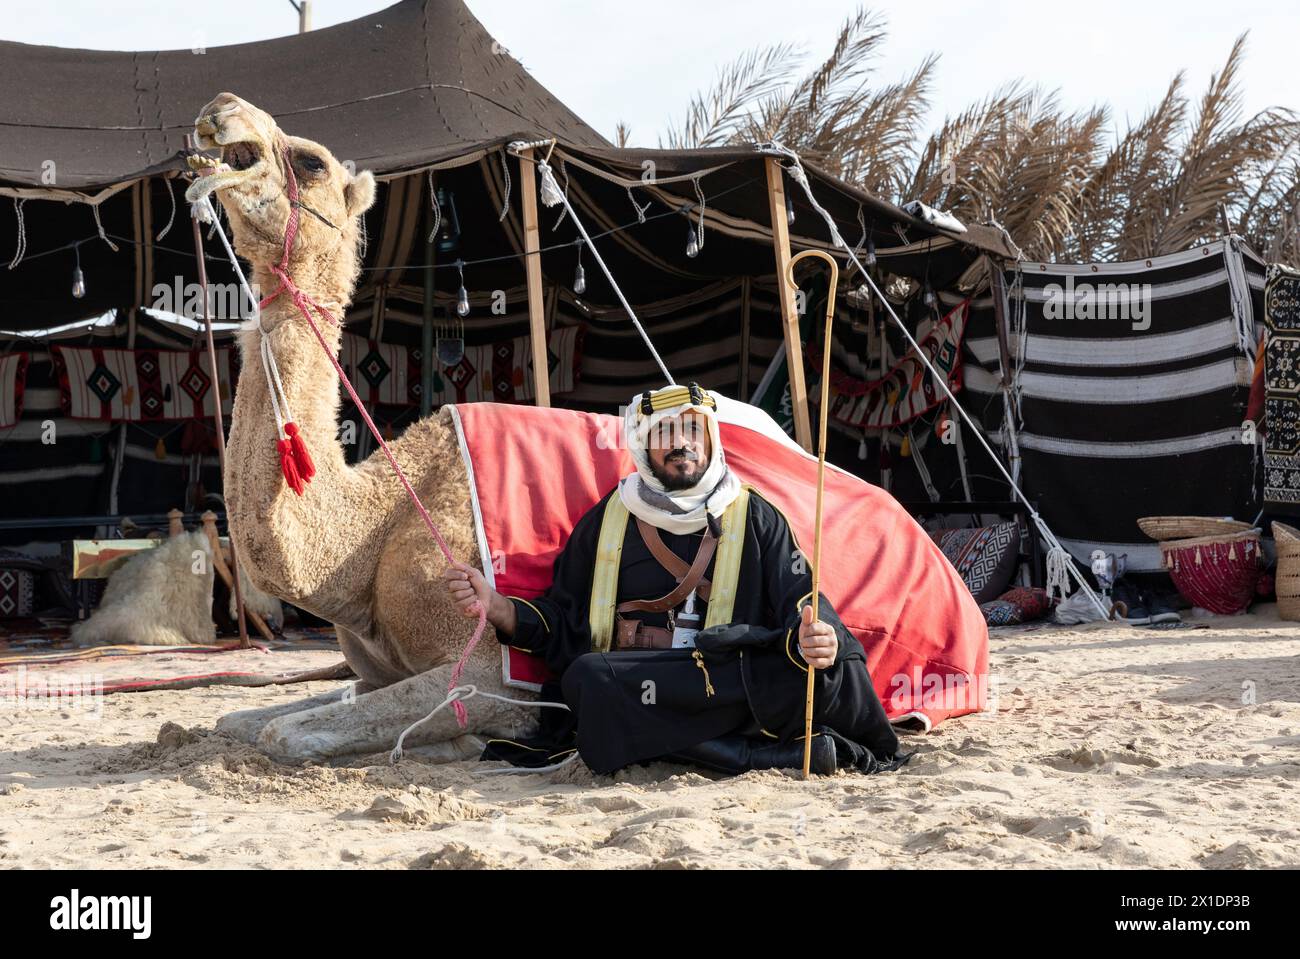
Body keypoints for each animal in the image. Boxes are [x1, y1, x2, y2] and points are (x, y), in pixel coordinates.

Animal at [185, 93, 538, 763]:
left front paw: (462, 742)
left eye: (312, 162)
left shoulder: (491, 668)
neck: (367, 541)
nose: (220, 107)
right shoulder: (371, 672)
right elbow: (237, 720)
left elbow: (284, 733)